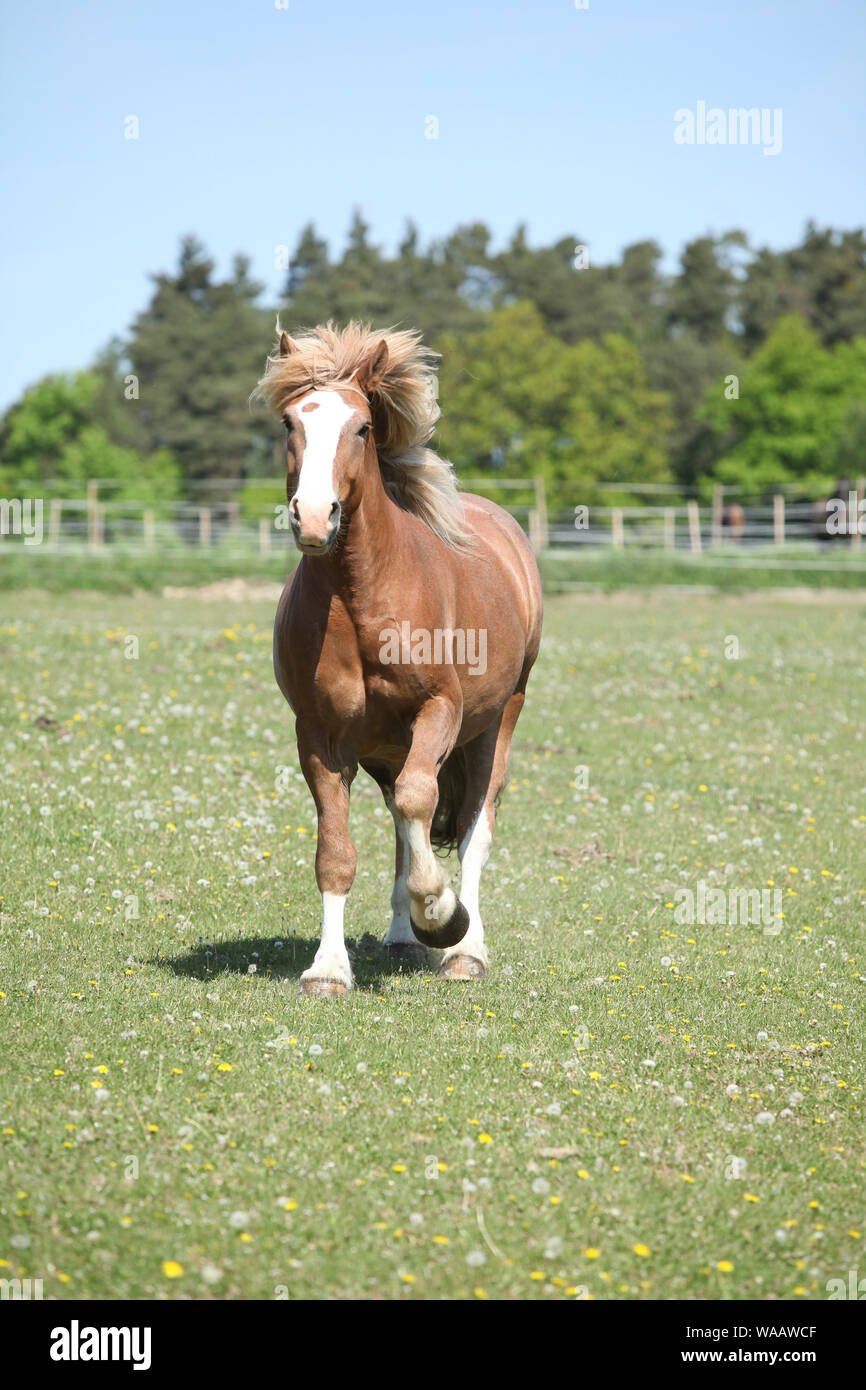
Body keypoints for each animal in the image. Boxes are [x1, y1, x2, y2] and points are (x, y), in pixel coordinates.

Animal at [254, 322, 543, 997]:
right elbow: (336, 853)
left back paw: (464, 950)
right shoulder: (319, 737)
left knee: (472, 826)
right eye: (289, 422)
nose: (314, 517)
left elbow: (421, 803)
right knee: (400, 830)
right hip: (384, 745)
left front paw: (442, 915)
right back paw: (402, 936)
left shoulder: (440, 711)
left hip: (498, 719)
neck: (362, 600)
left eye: (362, 427)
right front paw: (329, 969)